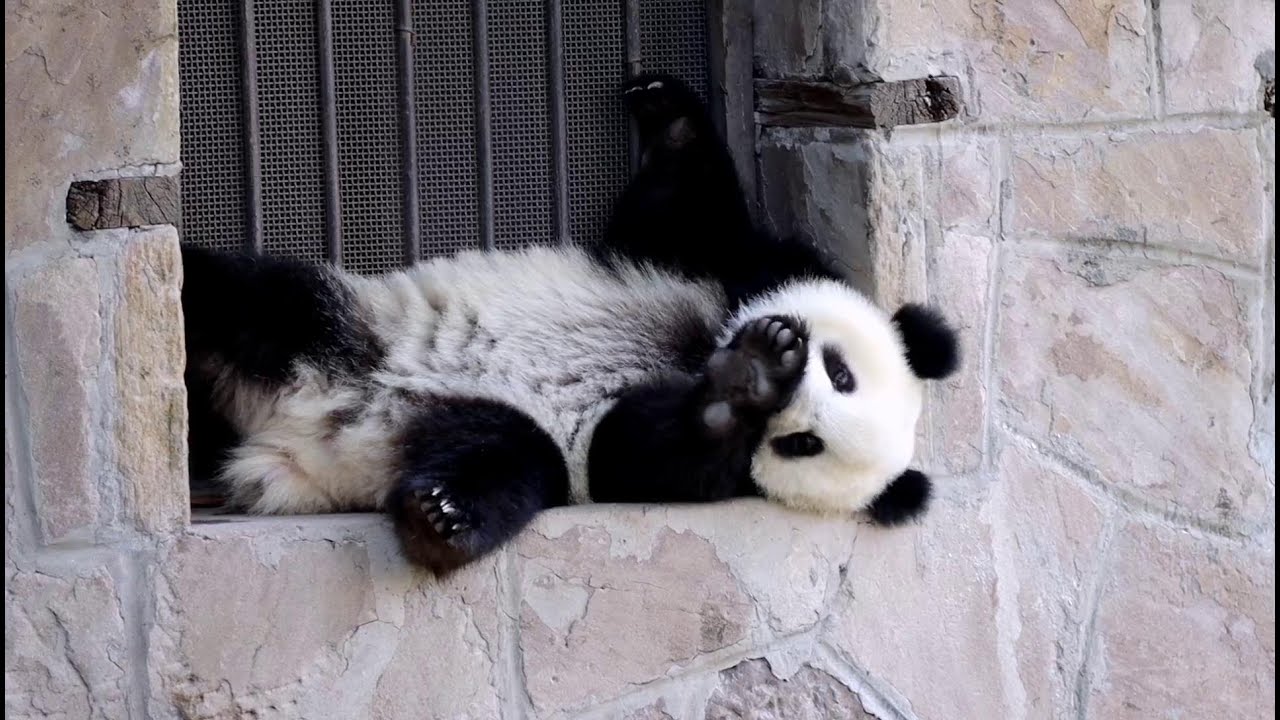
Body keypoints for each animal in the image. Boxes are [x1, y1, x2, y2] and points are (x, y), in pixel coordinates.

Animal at [181, 74, 959, 575]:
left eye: (803, 444)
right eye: (841, 372)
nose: (789, 388)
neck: (696, 354)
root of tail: (305, 434)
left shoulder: (700, 470)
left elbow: (632, 453)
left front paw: (741, 387)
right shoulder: (729, 267)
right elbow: (680, 215)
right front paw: (666, 104)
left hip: (463, 427)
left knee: (508, 464)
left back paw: (443, 520)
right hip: (337, 321)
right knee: (229, 300)